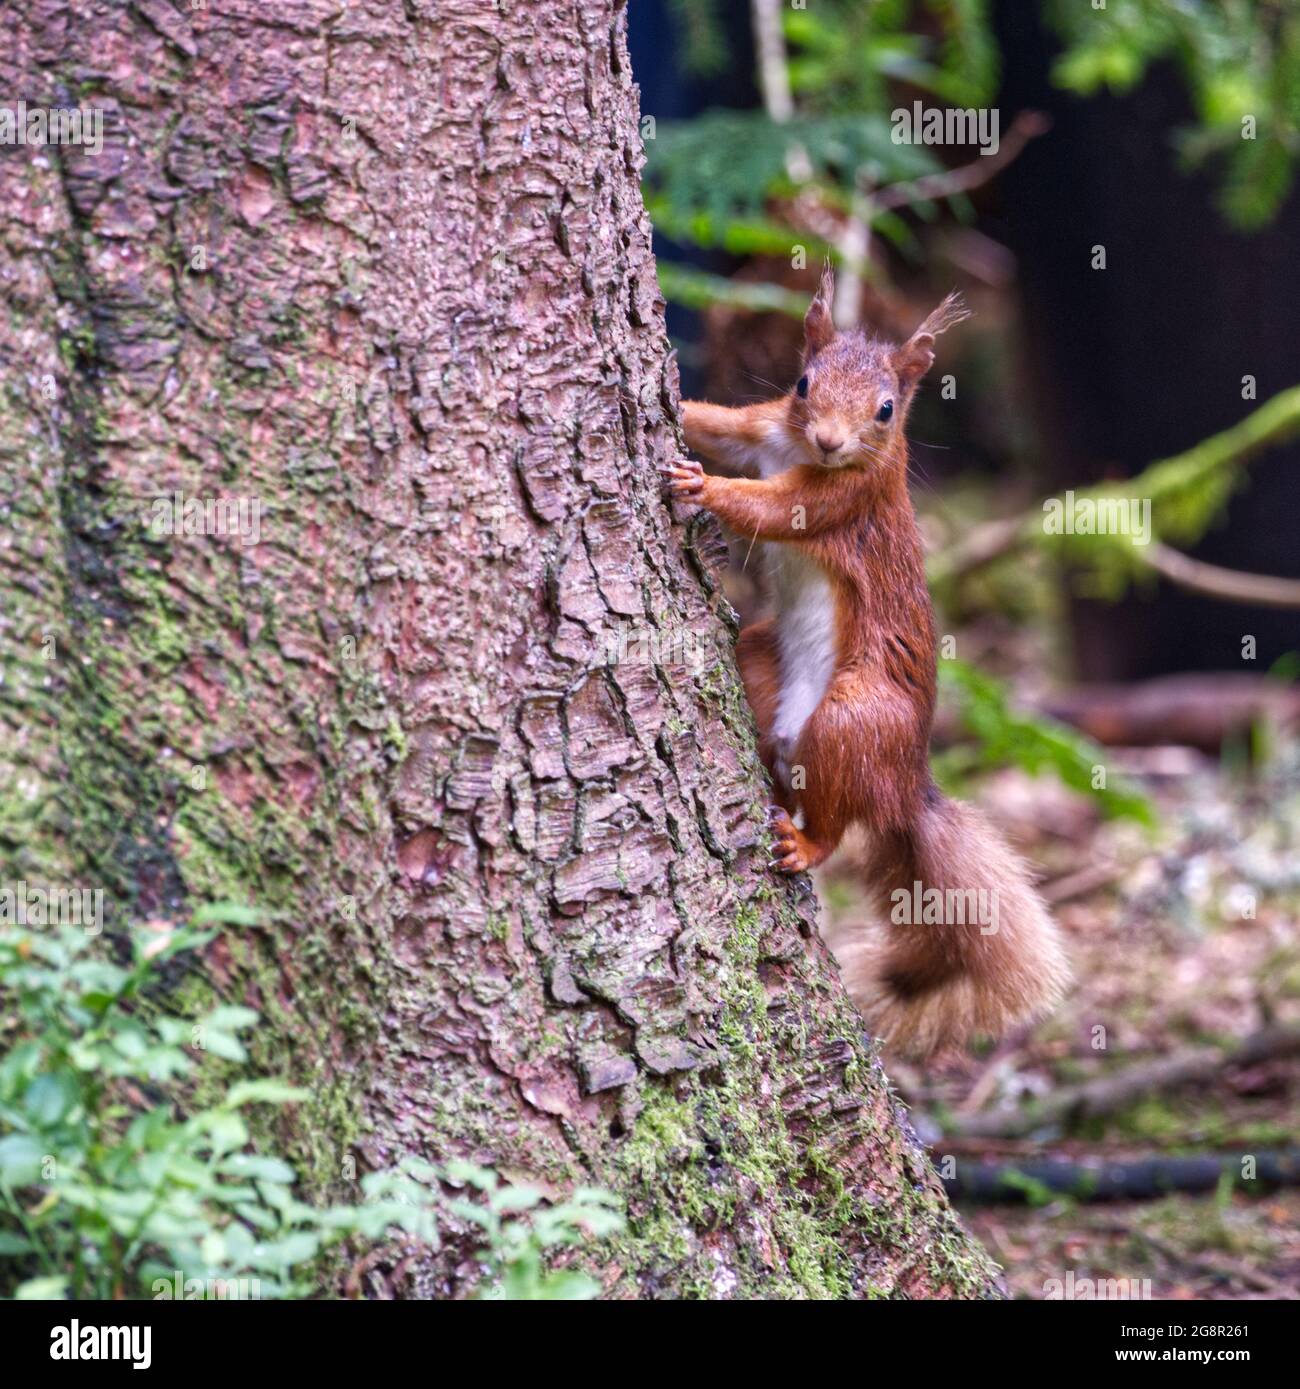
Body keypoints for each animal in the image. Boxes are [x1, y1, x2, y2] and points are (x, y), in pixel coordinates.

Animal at [665, 267, 1070, 1056]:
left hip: (855, 716)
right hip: (765, 668)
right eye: (802, 382)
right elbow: (717, 424)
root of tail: (905, 786)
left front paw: (704, 488)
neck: (804, 455)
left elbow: (766, 508)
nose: (827, 440)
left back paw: (802, 843)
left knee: (834, 823)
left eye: (886, 410)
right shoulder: (764, 428)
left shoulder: (842, 499)